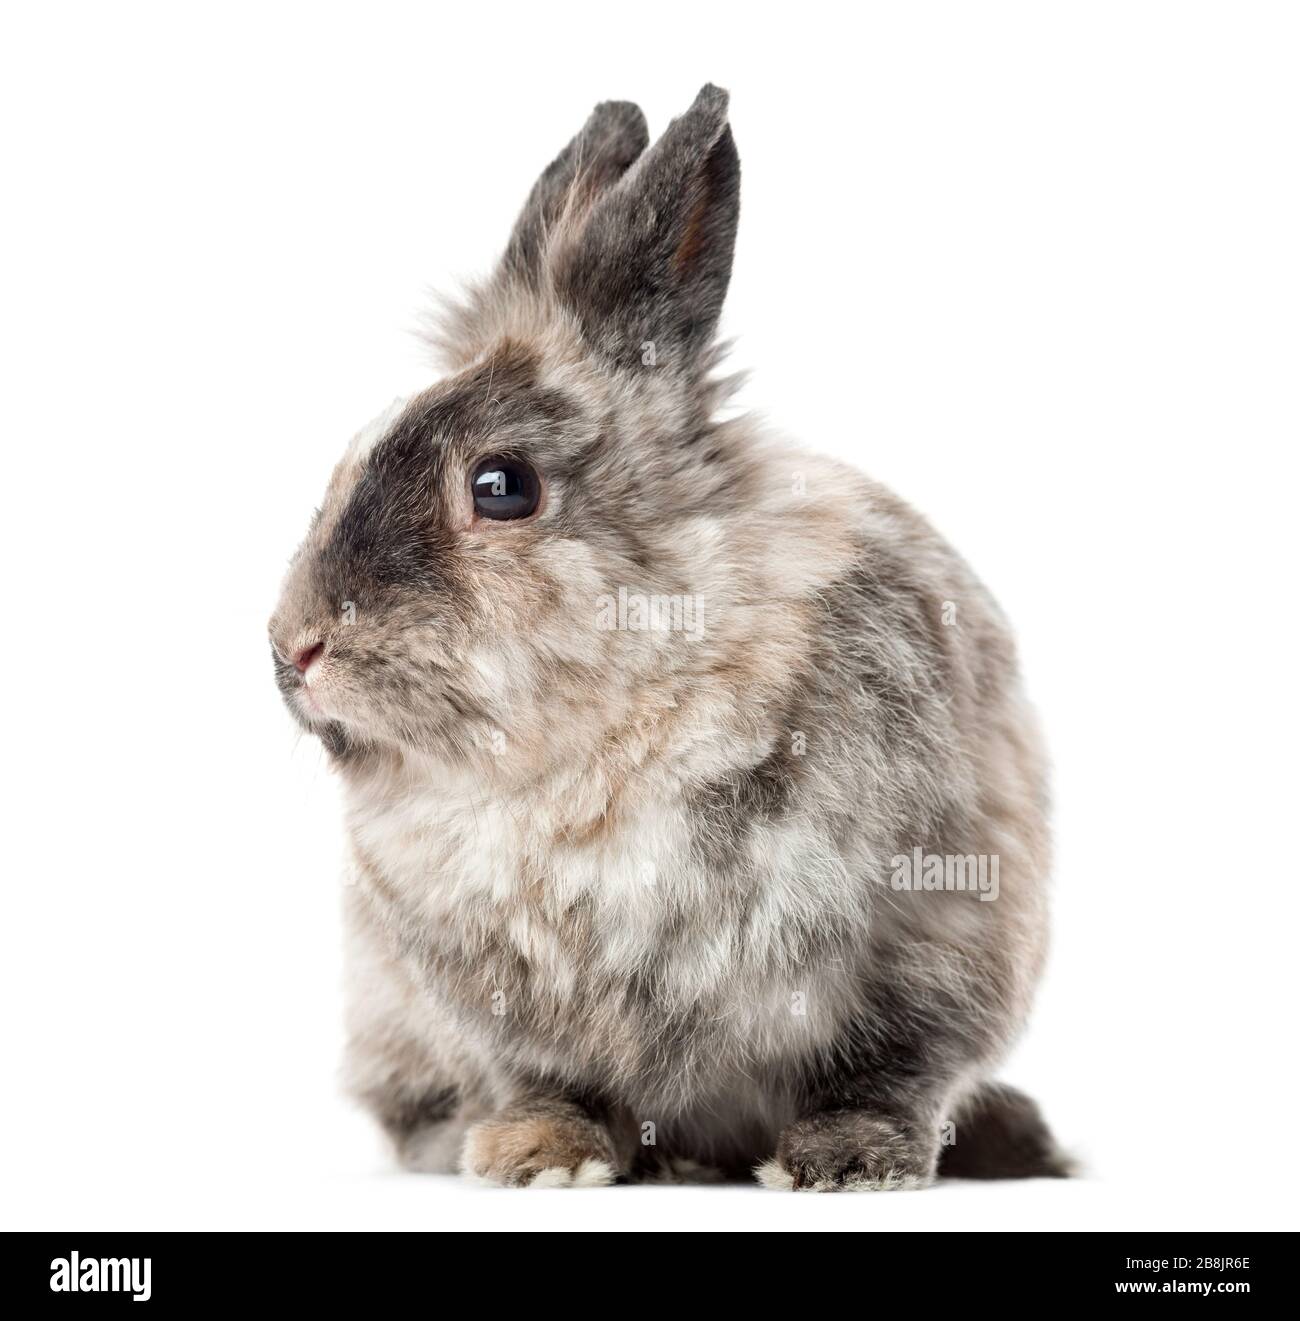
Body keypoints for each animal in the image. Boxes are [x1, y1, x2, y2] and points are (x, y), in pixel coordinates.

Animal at [269, 84, 1068, 1190]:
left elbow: (888, 1072)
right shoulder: (485, 1003)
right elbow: (539, 1080)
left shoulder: (936, 938)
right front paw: (536, 1155)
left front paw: (847, 1164)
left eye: (501, 485)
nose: (293, 647)